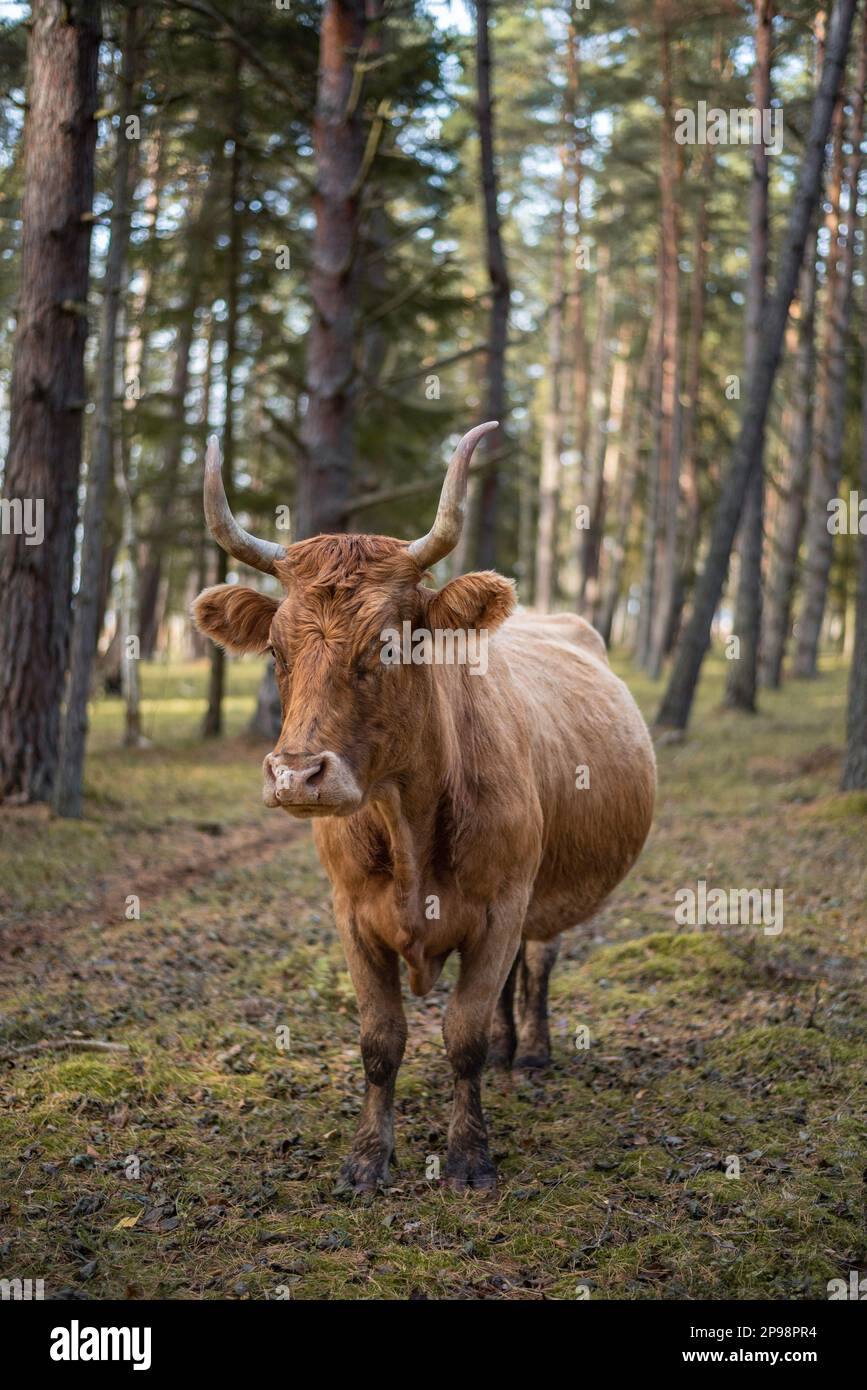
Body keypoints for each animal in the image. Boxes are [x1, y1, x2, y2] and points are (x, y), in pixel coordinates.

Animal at [193, 423, 656, 1193]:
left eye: (388, 643)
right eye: (277, 651)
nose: (297, 775)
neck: (407, 822)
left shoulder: (502, 903)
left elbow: (461, 1033)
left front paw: (468, 1154)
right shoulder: (352, 913)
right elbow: (381, 1040)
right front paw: (366, 1157)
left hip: (544, 888)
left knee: (538, 962)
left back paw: (530, 1051)